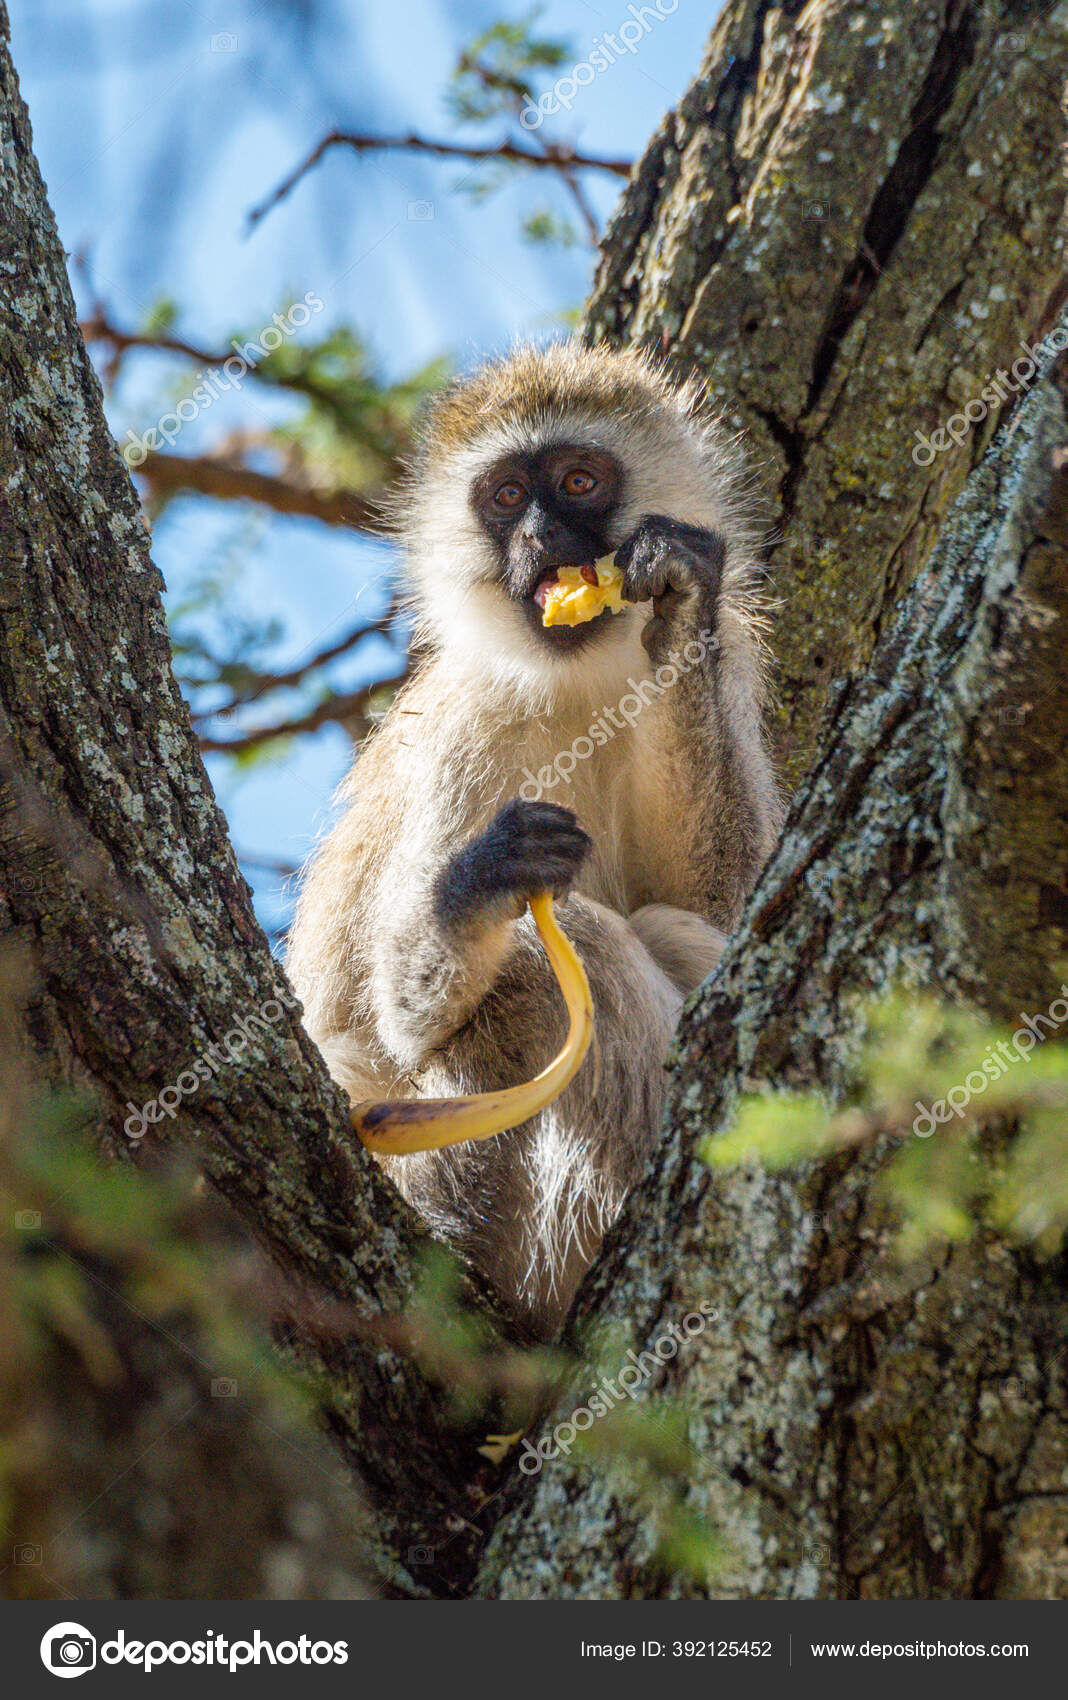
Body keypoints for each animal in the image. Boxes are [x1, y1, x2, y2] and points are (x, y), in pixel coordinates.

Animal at [285, 341, 781, 1339]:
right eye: (509, 497)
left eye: (579, 481)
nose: (545, 541)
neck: (580, 681)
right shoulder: (465, 728)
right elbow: (408, 1015)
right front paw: (481, 877)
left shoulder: (735, 663)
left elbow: (733, 901)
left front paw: (682, 595)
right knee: (546, 960)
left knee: (667, 927)